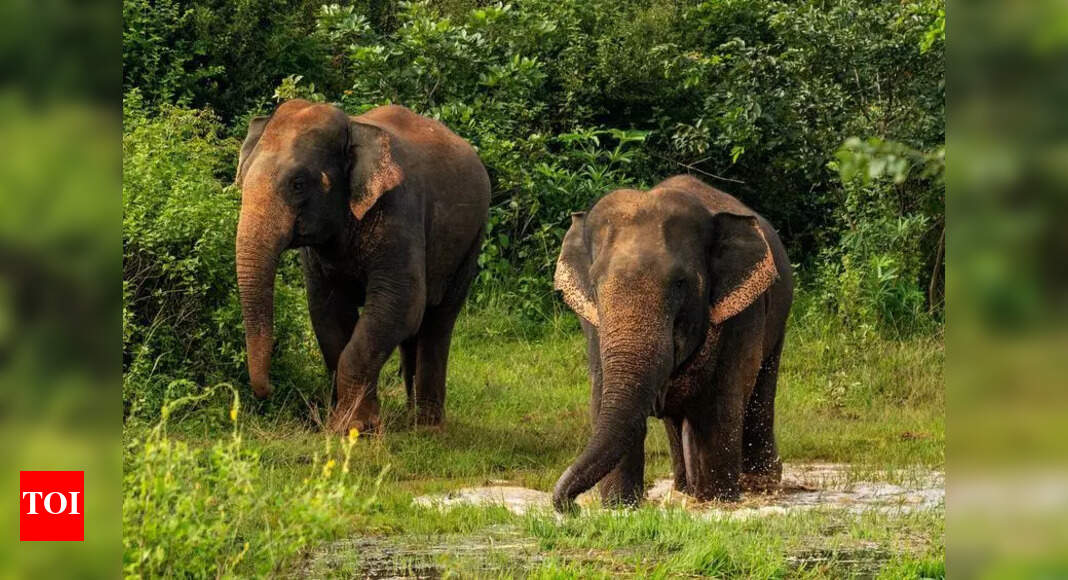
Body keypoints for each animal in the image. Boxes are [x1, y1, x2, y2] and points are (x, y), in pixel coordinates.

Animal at [235, 99, 489, 434]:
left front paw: (355, 428)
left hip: (472, 241)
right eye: (243, 177)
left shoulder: (399, 210)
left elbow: (401, 303)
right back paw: (411, 419)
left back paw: (427, 427)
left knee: (438, 319)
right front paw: (345, 424)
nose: (269, 390)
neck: (354, 127)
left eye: (298, 184)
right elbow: (327, 312)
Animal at [551, 175, 793, 512]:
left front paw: (718, 502)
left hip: (779, 317)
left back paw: (760, 485)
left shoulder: (742, 314)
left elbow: (720, 404)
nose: (571, 506)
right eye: (596, 282)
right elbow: (602, 397)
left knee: (759, 395)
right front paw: (618, 506)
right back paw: (685, 488)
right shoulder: (593, 321)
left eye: (680, 283)